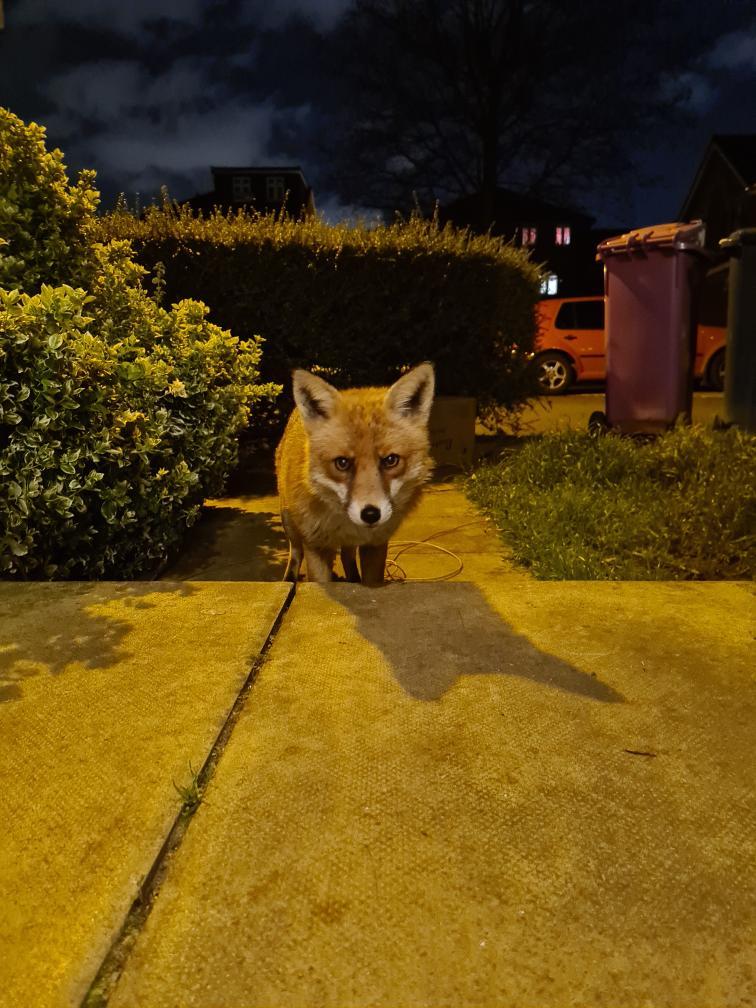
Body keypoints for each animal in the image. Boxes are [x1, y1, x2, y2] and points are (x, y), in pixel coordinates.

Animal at [275, 362, 435, 586]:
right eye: (342, 463)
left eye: (390, 460)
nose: (370, 514)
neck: (348, 526)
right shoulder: (316, 546)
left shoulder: (376, 544)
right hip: (289, 520)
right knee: (296, 552)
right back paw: (289, 579)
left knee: (347, 555)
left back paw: (352, 577)